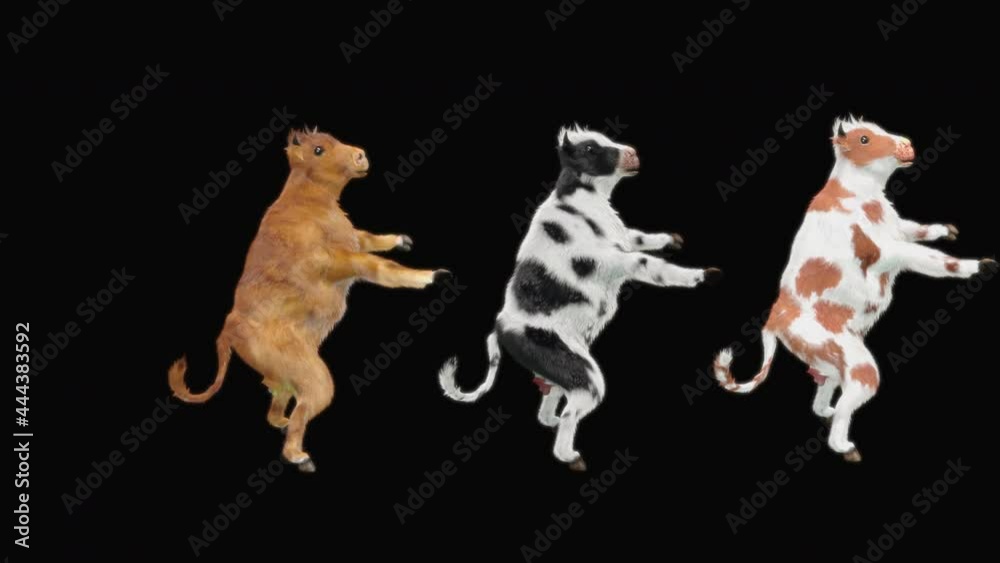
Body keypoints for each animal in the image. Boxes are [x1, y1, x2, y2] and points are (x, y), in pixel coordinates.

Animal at [169, 127, 451, 473]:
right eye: (318, 150)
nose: (360, 154)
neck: (311, 202)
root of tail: (227, 329)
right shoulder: (340, 261)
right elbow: (380, 266)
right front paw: (434, 276)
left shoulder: (352, 240)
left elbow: (367, 237)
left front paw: (400, 240)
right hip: (314, 376)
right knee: (302, 408)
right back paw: (298, 456)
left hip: (286, 377)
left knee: (276, 402)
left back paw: (282, 423)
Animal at [438, 125, 723, 471]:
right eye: (589, 148)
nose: (632, 153)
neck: (583, 204)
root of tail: (500, 327)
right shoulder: (615, 261)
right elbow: (653, 266)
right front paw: (705, 275)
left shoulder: (622, 239)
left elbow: (638, 237)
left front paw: (671, 239)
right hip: (583, 373)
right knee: (570, 413)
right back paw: (571, 457)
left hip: (563, 371)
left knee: (549, 405)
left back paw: (552, 424)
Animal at [713, 116, 996, 462]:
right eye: (864, 138)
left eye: (881, 130)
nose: (906, 144)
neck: (865, 197)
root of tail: (774, 318)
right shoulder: (889, 252)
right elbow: (934, 259)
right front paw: (980, 266)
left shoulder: (898, 229)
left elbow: (916, 229)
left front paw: (945, 229)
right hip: (858, 363)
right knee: (847, 406)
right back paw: (845, 447)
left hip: (831, 364)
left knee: (822, 397)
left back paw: (827, 411)